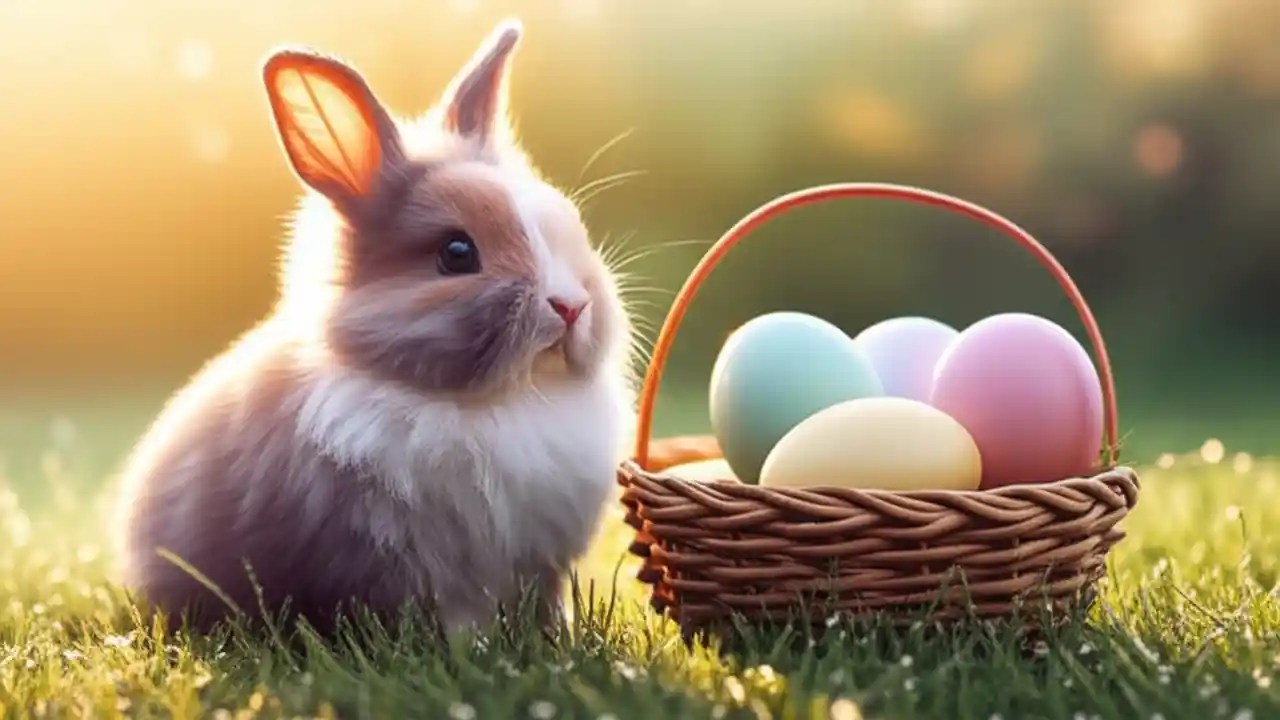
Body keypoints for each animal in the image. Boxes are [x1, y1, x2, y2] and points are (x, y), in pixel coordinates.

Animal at [113, 19, 634, 636]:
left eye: (568, 224)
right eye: (456, 253)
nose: (571, 306)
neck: (499, 402)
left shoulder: (541, 562)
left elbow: (544, 601)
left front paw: (553, 638)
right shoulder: (398, 560)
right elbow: (437, 617)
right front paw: (467, 649)